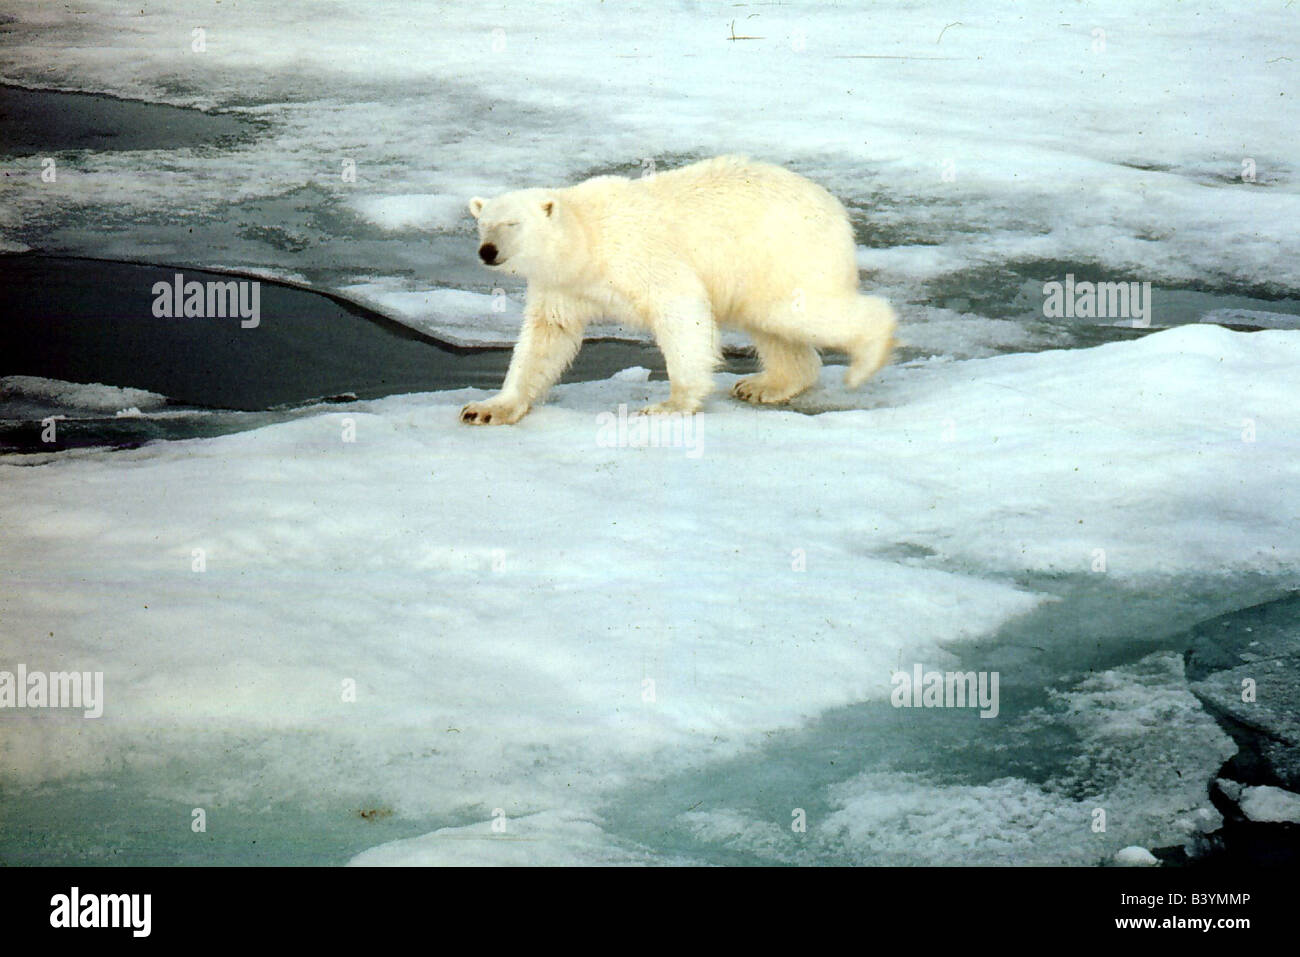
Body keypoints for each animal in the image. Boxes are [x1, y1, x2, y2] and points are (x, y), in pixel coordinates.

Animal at [460, 155, 897, 425]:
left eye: (513, 224)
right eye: (484, 225)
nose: (487, 251)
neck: (586, 241)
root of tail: (836, 209)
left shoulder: (635, 253)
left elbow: (680, 307)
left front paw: (669, 405)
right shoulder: (561, 286)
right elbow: (546, 338)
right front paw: (486, 409)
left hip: (787, 252)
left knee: (797, 312)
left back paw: (868, 358)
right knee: (770, 323)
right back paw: (764, 385)